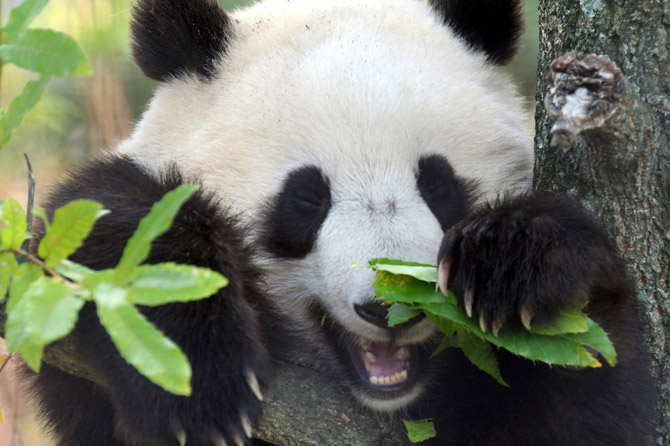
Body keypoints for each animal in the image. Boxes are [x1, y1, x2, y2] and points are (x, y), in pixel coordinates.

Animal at [22, 0, 656, 445]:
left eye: (438, 183)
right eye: (306, 199)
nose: (389, 308)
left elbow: (581, 408)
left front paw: (514, 266)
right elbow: (118, 222)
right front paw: (202, 382)